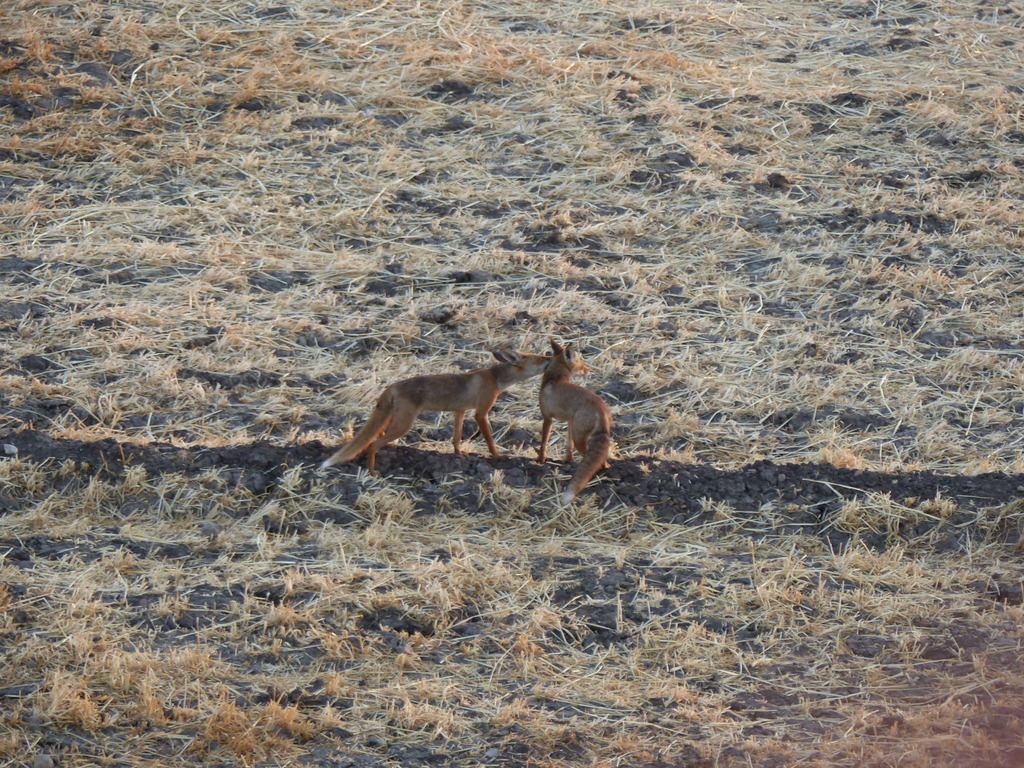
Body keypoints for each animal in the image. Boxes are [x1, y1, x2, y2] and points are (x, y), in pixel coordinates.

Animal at [321, 348, 551, 473]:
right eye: (539, 357)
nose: (551, 356)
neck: (495, 379)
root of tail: (392, 386)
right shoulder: (480, 412)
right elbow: (490, 440)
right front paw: (498, 456)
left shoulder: (460, 411)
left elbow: (456, 437)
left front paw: (459, 454)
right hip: (404, 424)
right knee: (372, 444)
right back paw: (372, 470)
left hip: (394, 419)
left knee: (376, 437)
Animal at [536, 339, 613, 503]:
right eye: (582, 363)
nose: (589, 370)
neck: (555, 377)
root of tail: (600, 407)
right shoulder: (570, 421)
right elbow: (568, 445)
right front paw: (567, 460)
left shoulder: (547, 418)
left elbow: (544, 442)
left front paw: (540, 460)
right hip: (580, 433)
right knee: (602, 460)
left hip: (581, 440)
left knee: (595, 461)